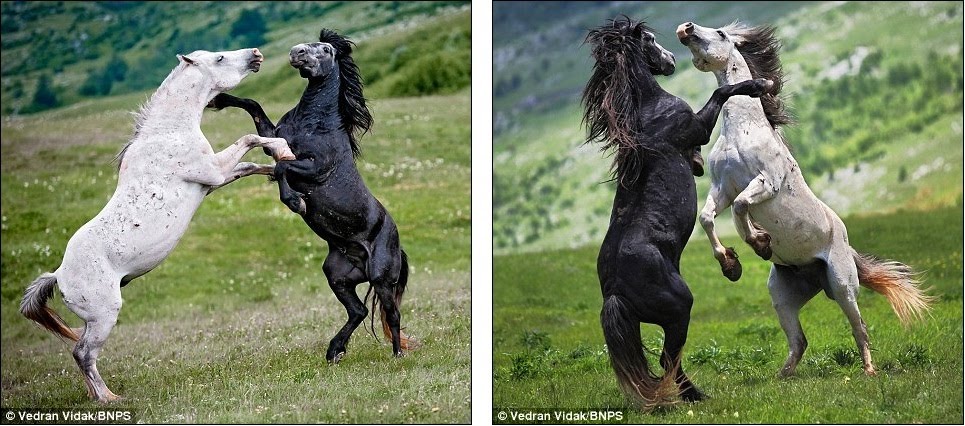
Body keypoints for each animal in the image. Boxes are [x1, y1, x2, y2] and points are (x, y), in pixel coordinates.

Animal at [19, 48, 294, 403]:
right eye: (219, 58)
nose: (256, 54)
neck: (167, 133)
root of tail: (59, 276)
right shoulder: (214, 171)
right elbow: (248, 139)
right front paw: (283, 151)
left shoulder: (216, 180)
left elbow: (249, 164)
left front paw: (280, 166)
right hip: (104, 316)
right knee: (83, 353)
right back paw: (110, 398)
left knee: (80, 353)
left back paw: (97, 396)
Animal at [208, 29, 418, 363]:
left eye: (327, 49)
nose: (297, 52)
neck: (315, 123)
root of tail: (398, 246)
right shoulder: (274, 139)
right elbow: (253, 105)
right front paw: (218, 99)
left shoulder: (314, 167)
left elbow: (282, 168)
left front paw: (297, 202)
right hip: (337, 276)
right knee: (358, 311)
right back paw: (334, 351)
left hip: (381, 278)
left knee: (391, 314)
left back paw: (397, 355)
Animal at [581, 17, 773, 408]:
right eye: (651, 40)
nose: (669, 60)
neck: (648, 111)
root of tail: (615, 292)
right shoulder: (696, 126)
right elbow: (720, 94)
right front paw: (759, 85)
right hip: (679, 308)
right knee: (667, 357)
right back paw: (692, 396)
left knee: (668, 358)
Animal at [676, 21, 933, 377]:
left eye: (721, 34)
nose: (686, 29)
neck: (743, 129)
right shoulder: (722, 187)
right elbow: (707, 217)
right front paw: (730, 264)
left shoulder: (765, 183)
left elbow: (742, 208)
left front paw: (759, 243)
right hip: (782, 295)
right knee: (799, 340)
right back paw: (783, 376)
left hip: (842, 286)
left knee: (859, 327)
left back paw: (868, 370)